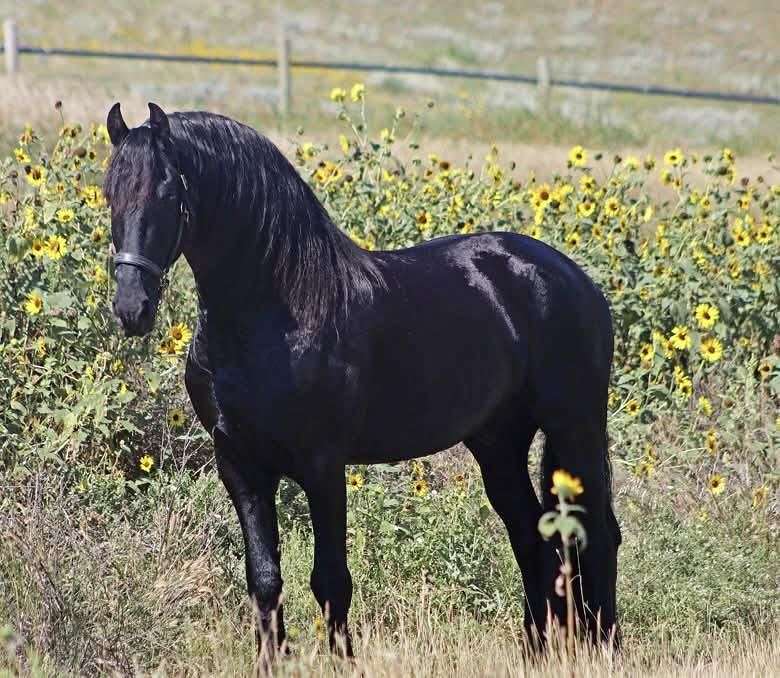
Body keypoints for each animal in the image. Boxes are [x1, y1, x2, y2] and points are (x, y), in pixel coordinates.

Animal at [104, 102, 621, 659]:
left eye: (167, 194)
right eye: (110, 191)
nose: (132, 308)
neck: (282, 310)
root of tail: (575, 279)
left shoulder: (323, 464)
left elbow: (331, 579)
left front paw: (341, 659)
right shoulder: (239, 463)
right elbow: (264, 577)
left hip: (576, 426)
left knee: (599, 534)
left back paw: (605, 646)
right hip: (498, 442)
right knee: (530, 536)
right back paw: (535, 650)